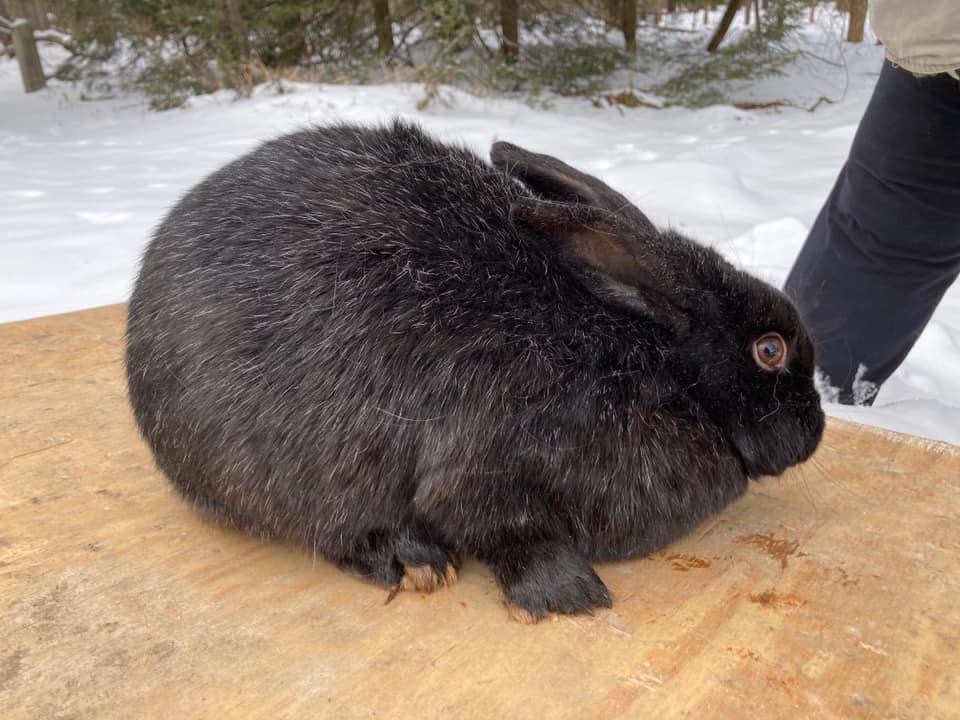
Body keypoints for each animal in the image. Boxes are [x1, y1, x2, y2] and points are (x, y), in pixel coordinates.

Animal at [126, 119, 824, 622]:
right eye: (769, 350)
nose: (815, 431)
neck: (651, 358)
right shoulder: (480, 474)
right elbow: (509, 531)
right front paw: (568, 596)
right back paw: (413, 562)